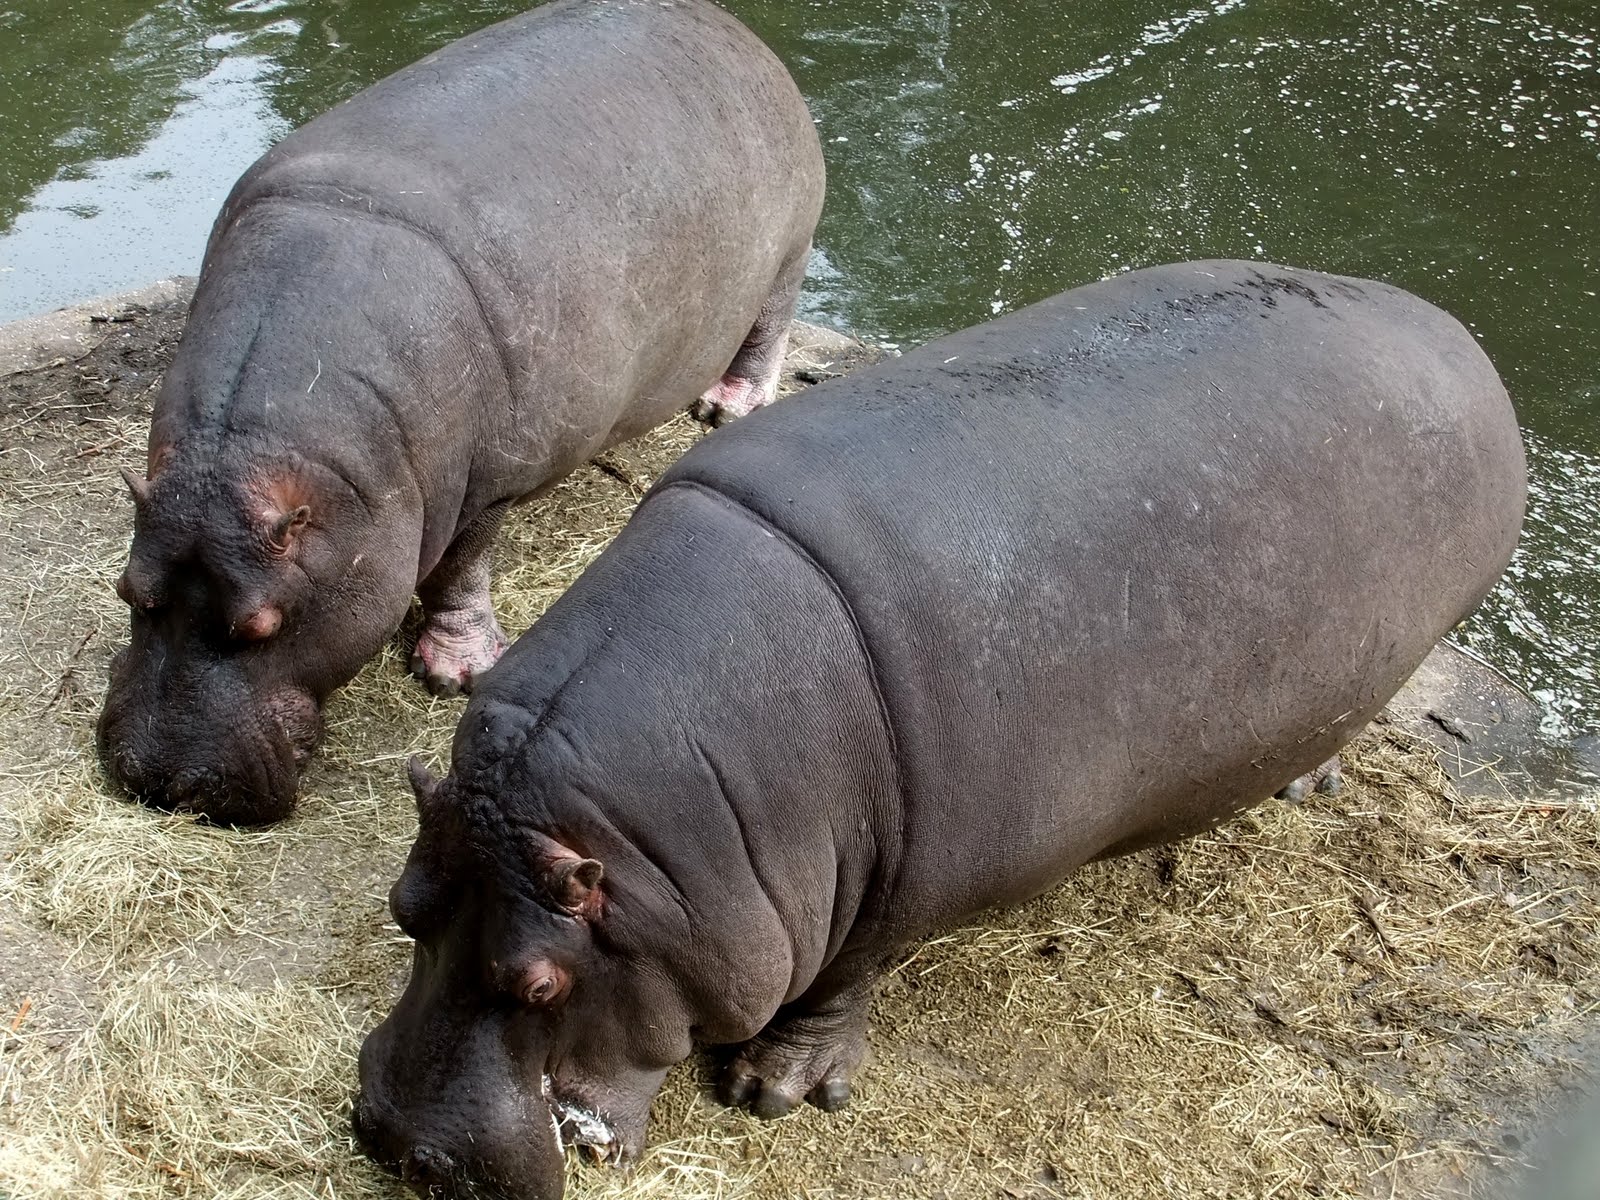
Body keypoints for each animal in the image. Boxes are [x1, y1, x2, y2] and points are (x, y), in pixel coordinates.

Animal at [96, 0, 825, 823]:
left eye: (262, 624)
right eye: (128, 591)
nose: (164, 784)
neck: (258, 446)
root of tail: (735, 29)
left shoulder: (488, 484)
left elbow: (460, 567)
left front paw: (453, 675)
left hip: (789, 253)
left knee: (767, 328)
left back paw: (726, 406)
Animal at [353, 260, 1526, 1199]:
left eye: (543, 985)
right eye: (404, 906)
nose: (403, 1148)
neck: (665, 859)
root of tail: (1450, 330)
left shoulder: (908, 887)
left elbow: (843, 977)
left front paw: (773, 1090)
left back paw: (1303, 784)